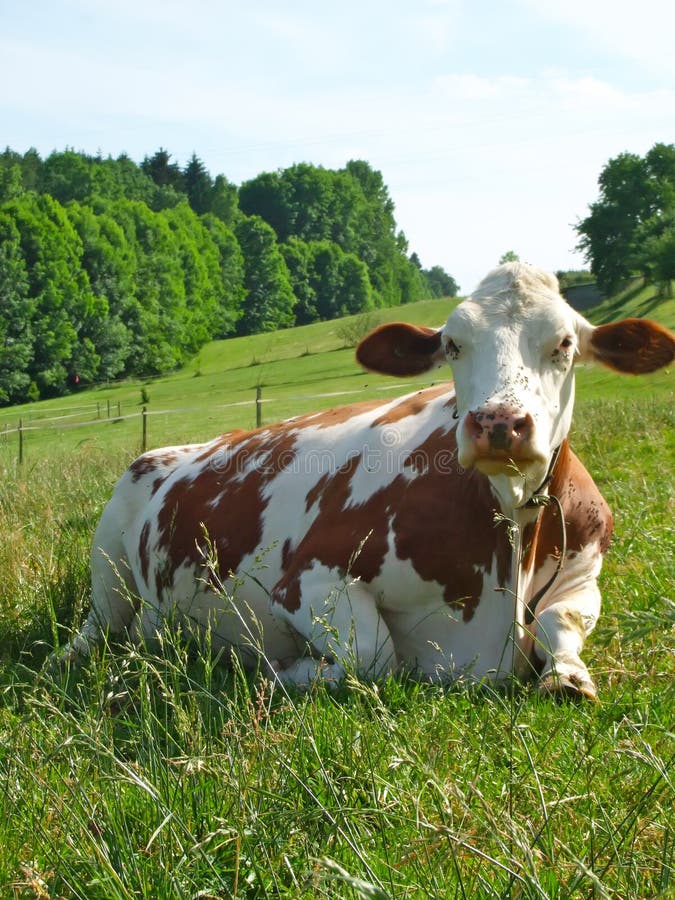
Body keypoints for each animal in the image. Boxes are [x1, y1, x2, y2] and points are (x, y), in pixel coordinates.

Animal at [63, 263, 675, 699]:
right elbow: (375, 658)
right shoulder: (307, 579)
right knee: (98, 626)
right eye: (453, 344)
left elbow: (560, 622)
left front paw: (569, 676)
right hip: (109, 554)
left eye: (564, 344)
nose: (498, 421)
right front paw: (283, 669)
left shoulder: (584, 571)